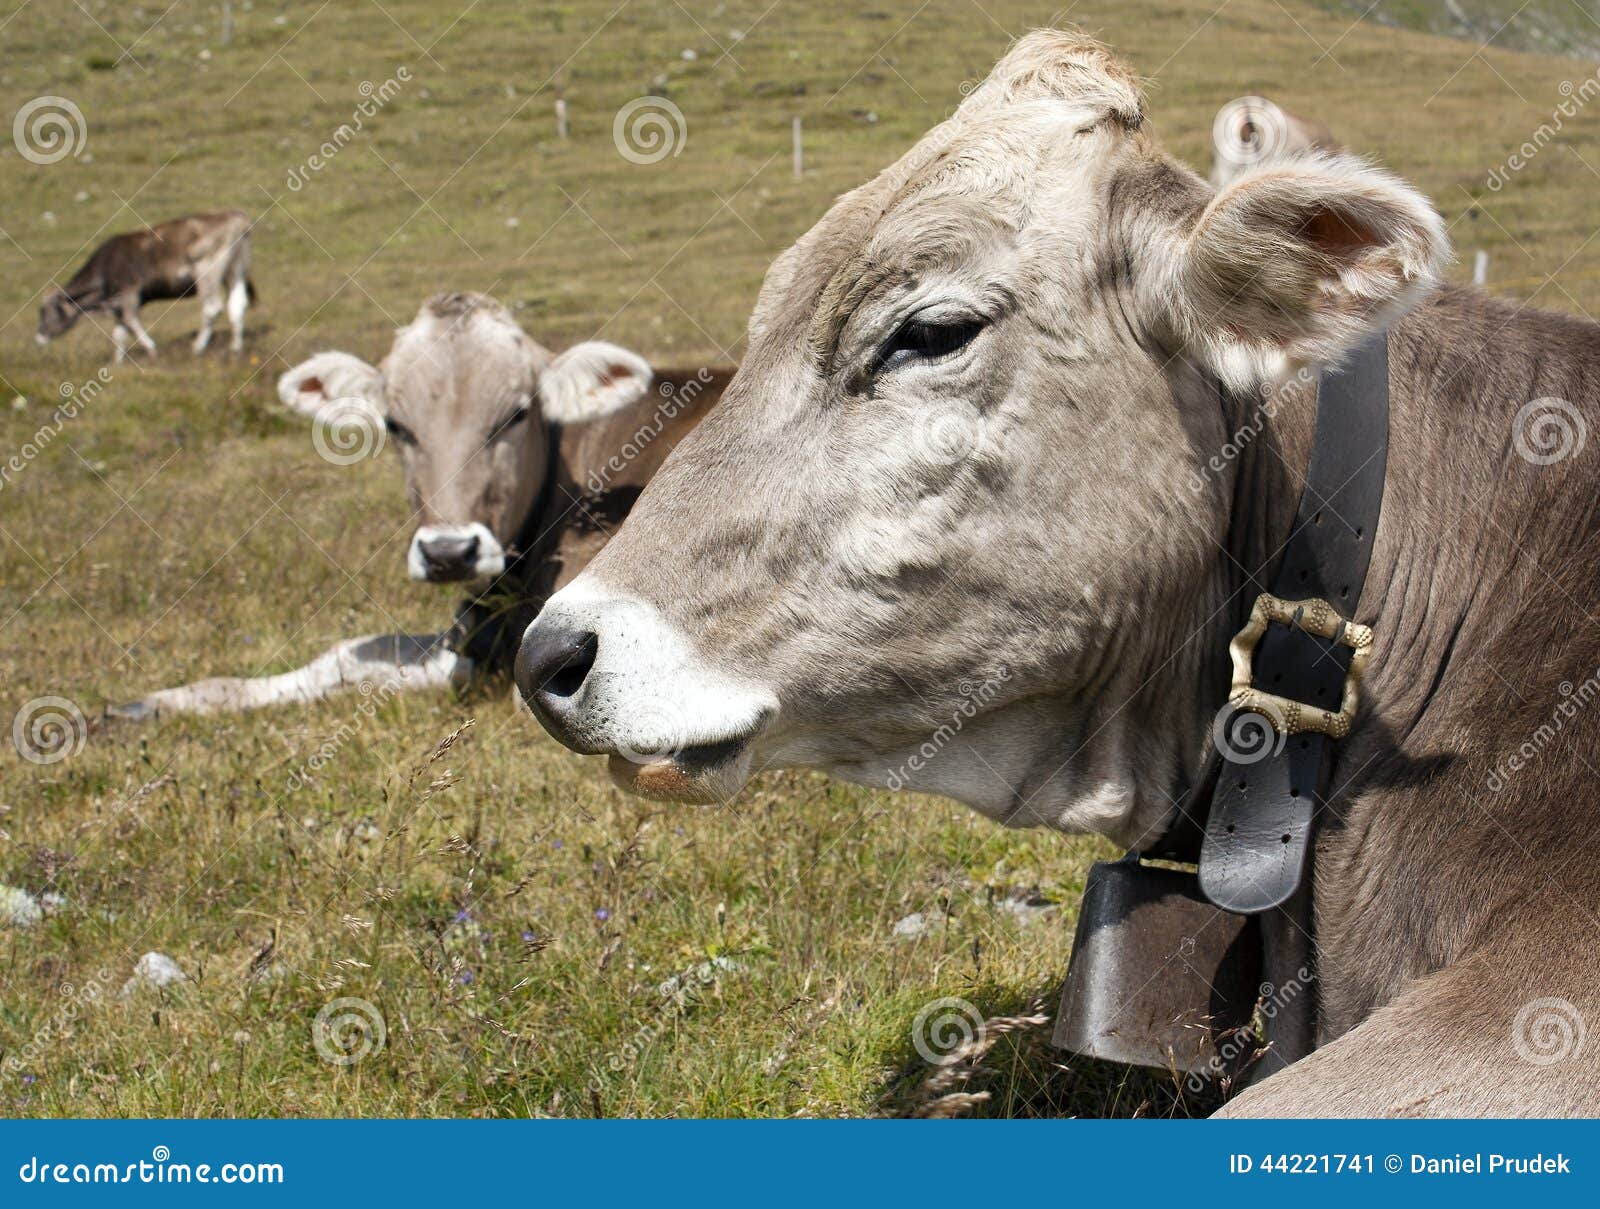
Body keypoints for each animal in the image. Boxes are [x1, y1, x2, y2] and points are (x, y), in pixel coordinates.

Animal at [36, 211, 255, 362]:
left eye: (46, 311)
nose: (38, 338)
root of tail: (235, 216)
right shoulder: (118, 304)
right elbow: (119, 333)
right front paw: (117, 362)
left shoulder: (129, 295)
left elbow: (131, 323)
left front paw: (151, 349)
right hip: (236, 271)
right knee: (236, 305)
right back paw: (235, 348)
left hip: (208, 273)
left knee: (212, 308)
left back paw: (198, 347)